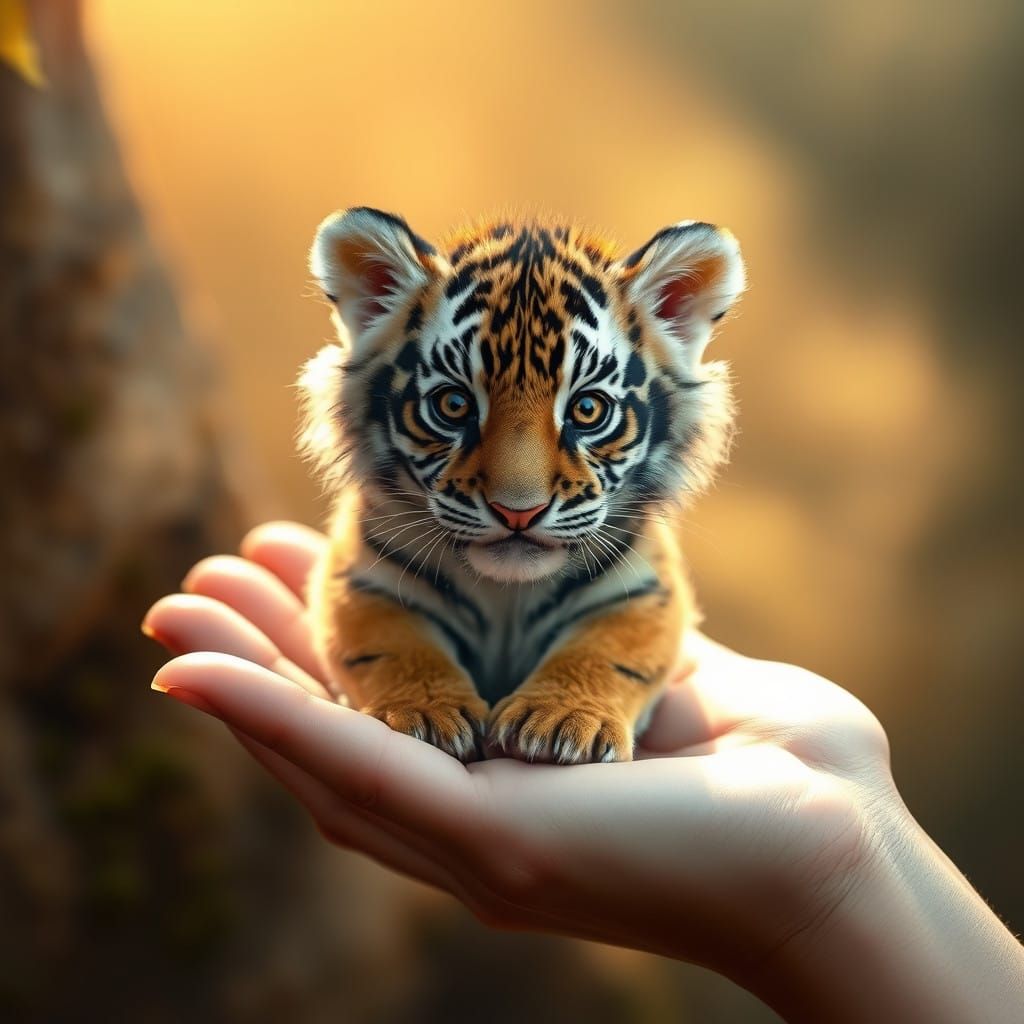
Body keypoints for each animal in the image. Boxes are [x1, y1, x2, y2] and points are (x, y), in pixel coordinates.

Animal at [298, 207, 745, 764]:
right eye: (453, 405)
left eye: (587, 409)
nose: (518, 512)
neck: (505, 595)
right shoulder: (363, 579)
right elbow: (396, 646)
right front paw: (427, 714)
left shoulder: (645, 588)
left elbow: (604, 651)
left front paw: (563, 720)